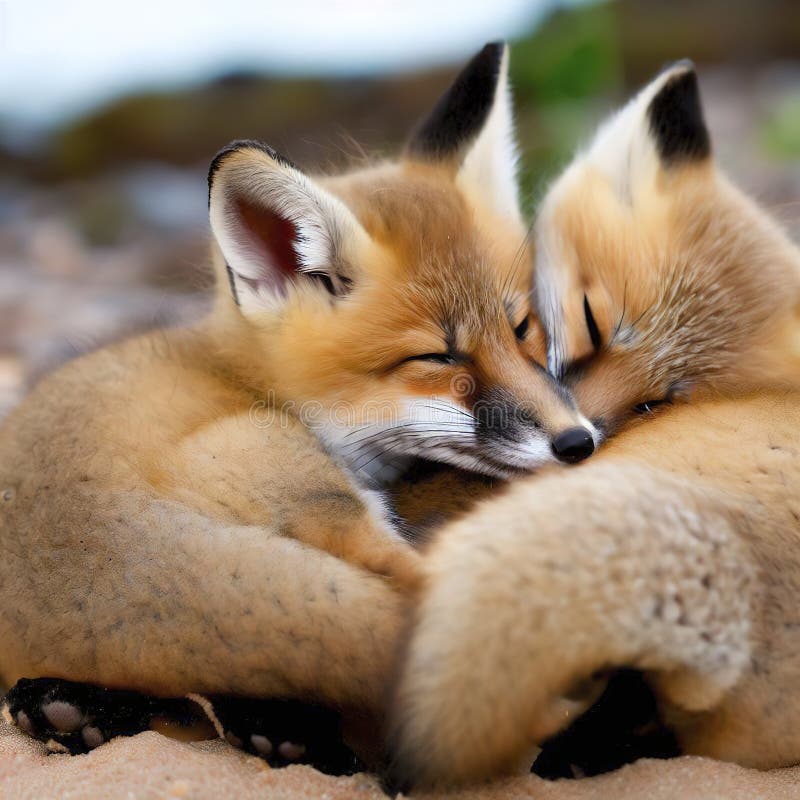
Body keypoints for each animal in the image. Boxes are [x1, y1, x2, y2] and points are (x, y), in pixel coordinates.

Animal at [0, 44, 597, 766]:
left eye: (521, 327)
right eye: (438, 358)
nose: (578, 442)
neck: (241, 373)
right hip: (292, 471)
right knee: (416, 583)